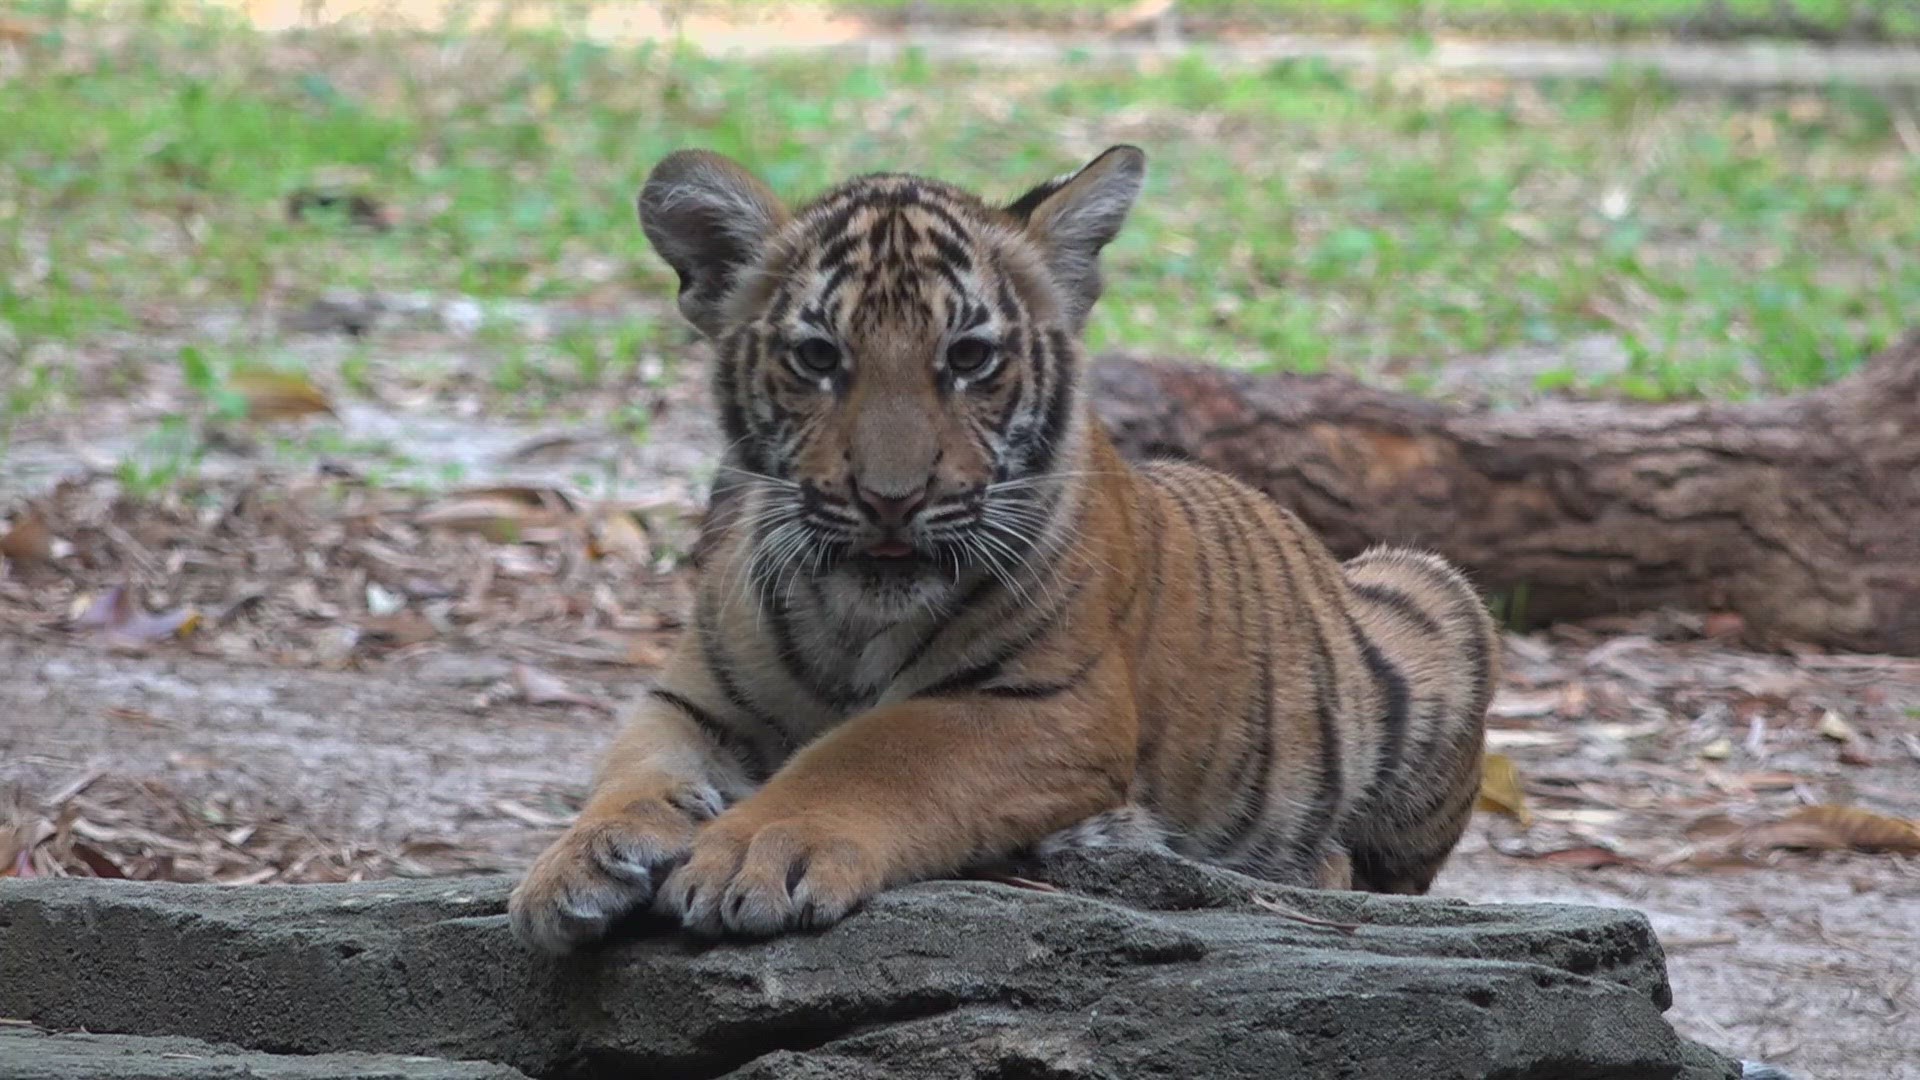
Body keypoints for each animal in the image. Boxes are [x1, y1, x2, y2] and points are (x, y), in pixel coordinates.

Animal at [509, 145, 1497, 951]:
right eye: (819, 357)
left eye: (970, 357)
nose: (892, 499)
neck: (852, 619)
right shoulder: (693, 698)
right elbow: (633, 769)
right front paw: (576, 863)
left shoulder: (1047, 707)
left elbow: (871, 753)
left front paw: (754, 851)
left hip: (1430, 598)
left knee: (1372, 873)